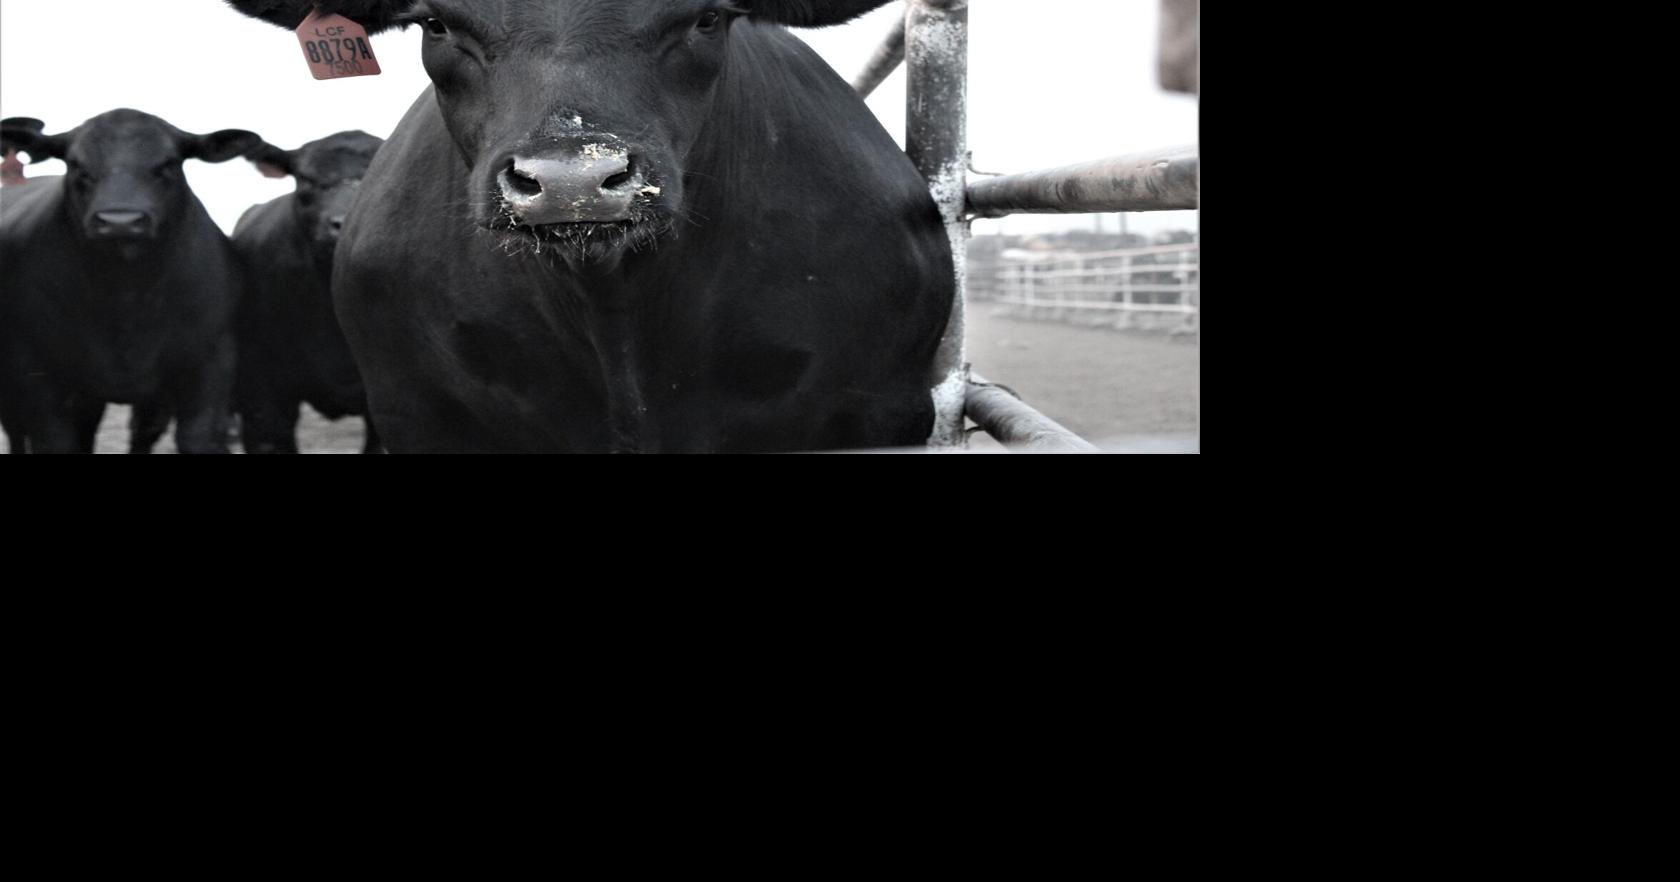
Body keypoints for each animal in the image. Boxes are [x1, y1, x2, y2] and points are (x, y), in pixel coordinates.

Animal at [0, 110, 262, 454]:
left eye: (168, 163)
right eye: (76, 165)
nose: (120, 222)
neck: (127, 294)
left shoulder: (213, 359)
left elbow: (193, 436)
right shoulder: (32, 366)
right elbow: (55, 439)